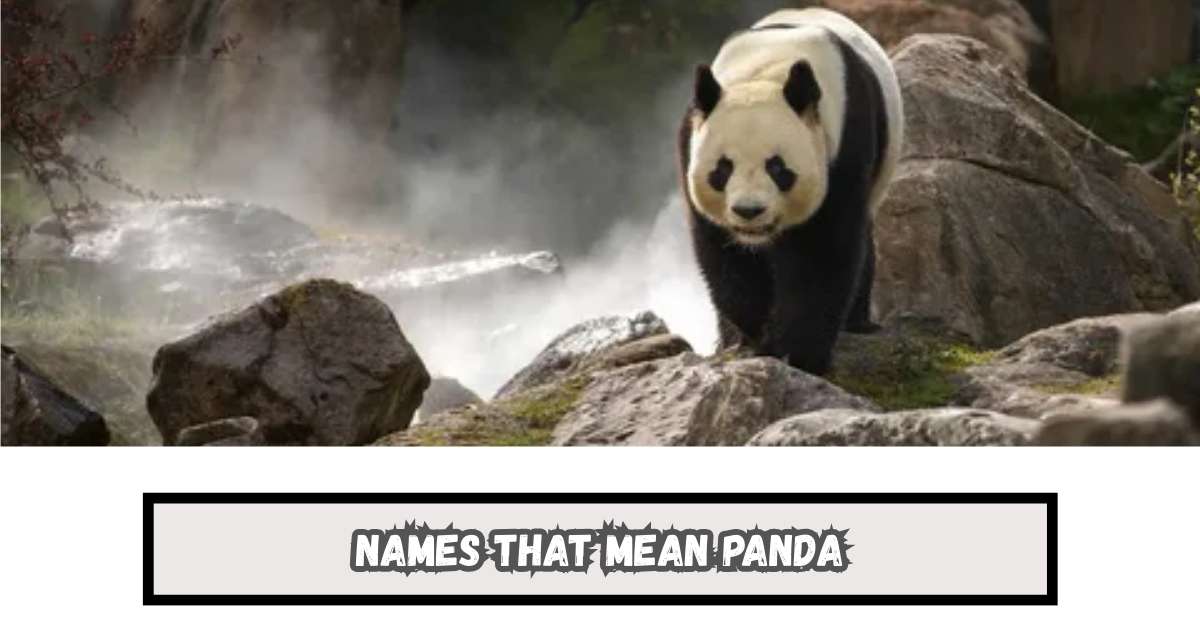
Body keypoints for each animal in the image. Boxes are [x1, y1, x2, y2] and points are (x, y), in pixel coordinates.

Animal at [678, 8, 903, 376]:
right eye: (722, 169)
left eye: (778, 168)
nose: (749, 211)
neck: (766, 72)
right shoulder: (691, 145)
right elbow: (725, 258)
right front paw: (759, 335)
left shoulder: (843, 145)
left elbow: (822, 253)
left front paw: (799, 353)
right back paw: (728, 341)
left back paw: (858, 323)